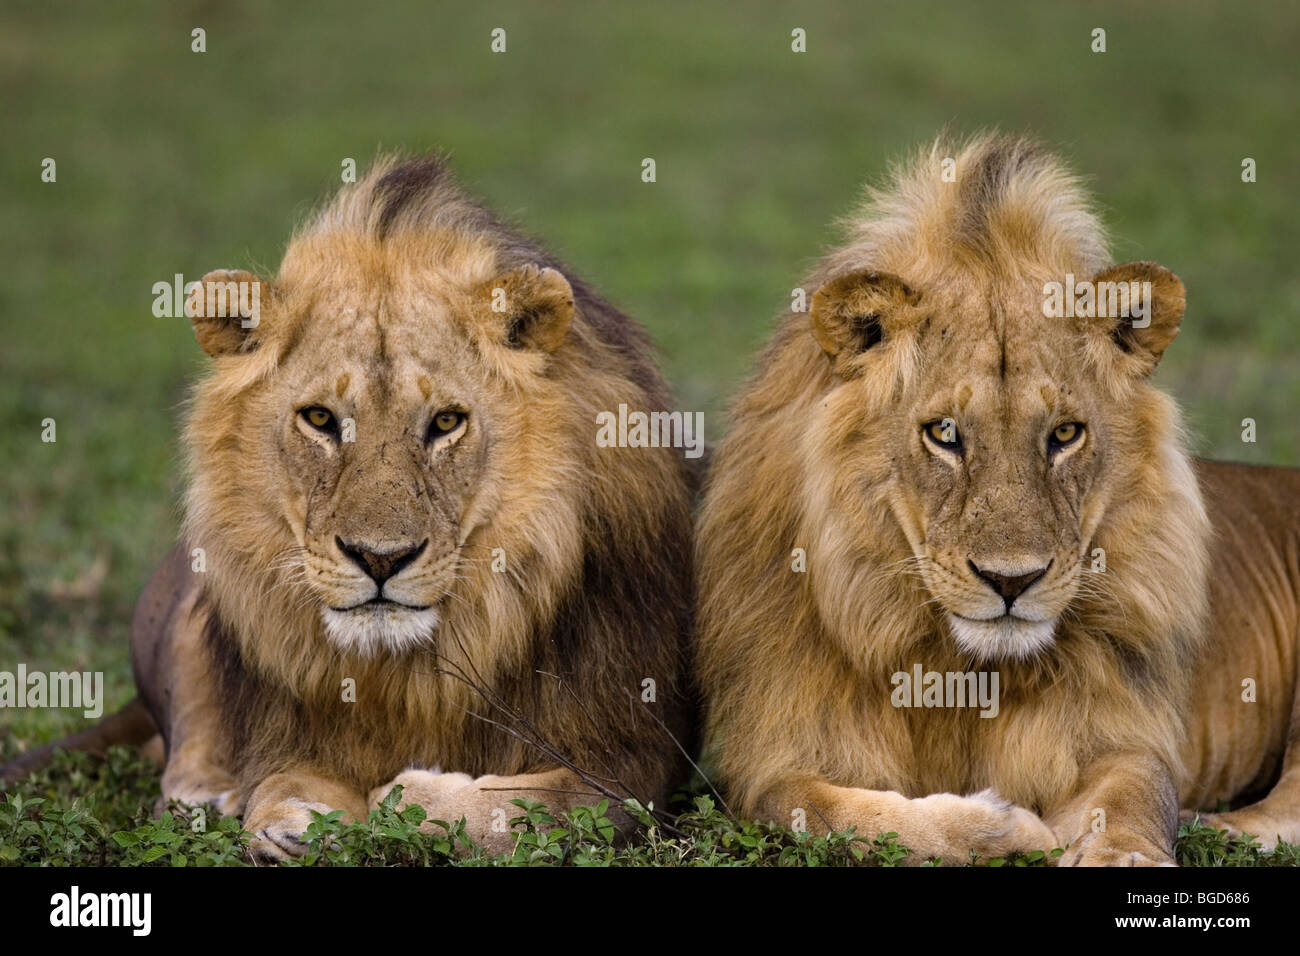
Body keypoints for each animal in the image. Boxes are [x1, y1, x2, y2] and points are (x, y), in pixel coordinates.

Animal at [3, 155, 698, 862]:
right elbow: (285, 777)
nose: (380, 559)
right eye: (319, 419)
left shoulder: (631, 765)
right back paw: (207, 793)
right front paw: (292, 822)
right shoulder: (291, 728)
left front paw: (400, 795)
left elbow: (520, 808)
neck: (408, 670)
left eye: (445, 422)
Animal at [695, 133, 1300, 866]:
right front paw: (1005, 828)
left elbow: (1140, 790)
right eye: (944, 433)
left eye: (1064, 434)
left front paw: (1121, 852)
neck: (962, 667)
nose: (1012, 582)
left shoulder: (1119, 736)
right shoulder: (770, 763)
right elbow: (823, 809)